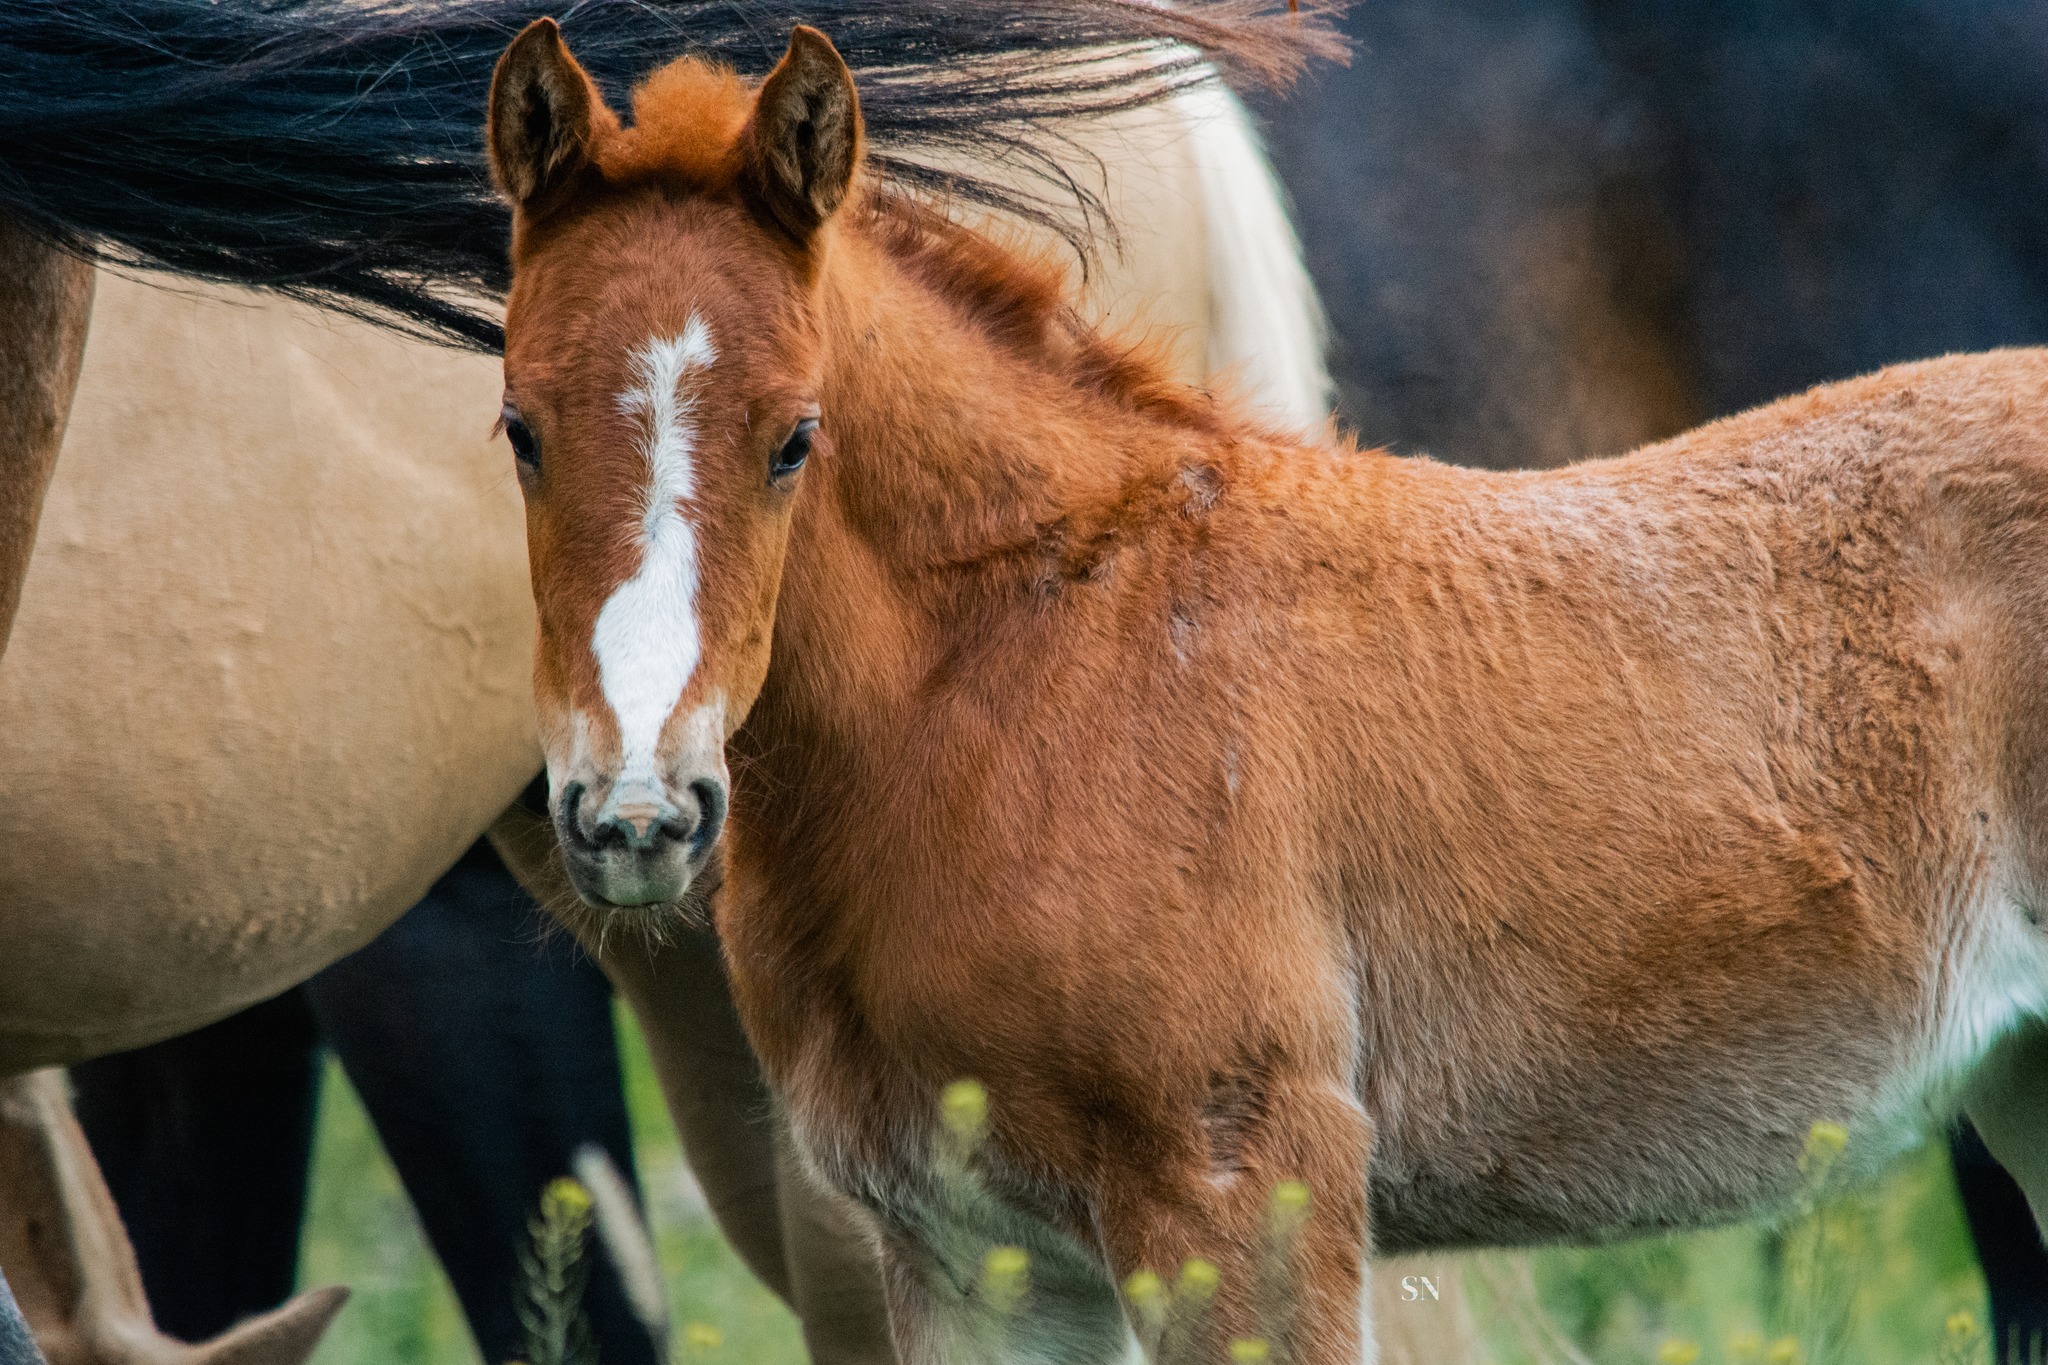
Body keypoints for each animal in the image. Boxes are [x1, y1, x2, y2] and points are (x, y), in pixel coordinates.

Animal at [488, 19, 2048, 1363]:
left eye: (794, 438)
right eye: (517, 426)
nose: (637, 813)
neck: (1021, 668)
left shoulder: (1241, 1192)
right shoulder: (969, 1254)